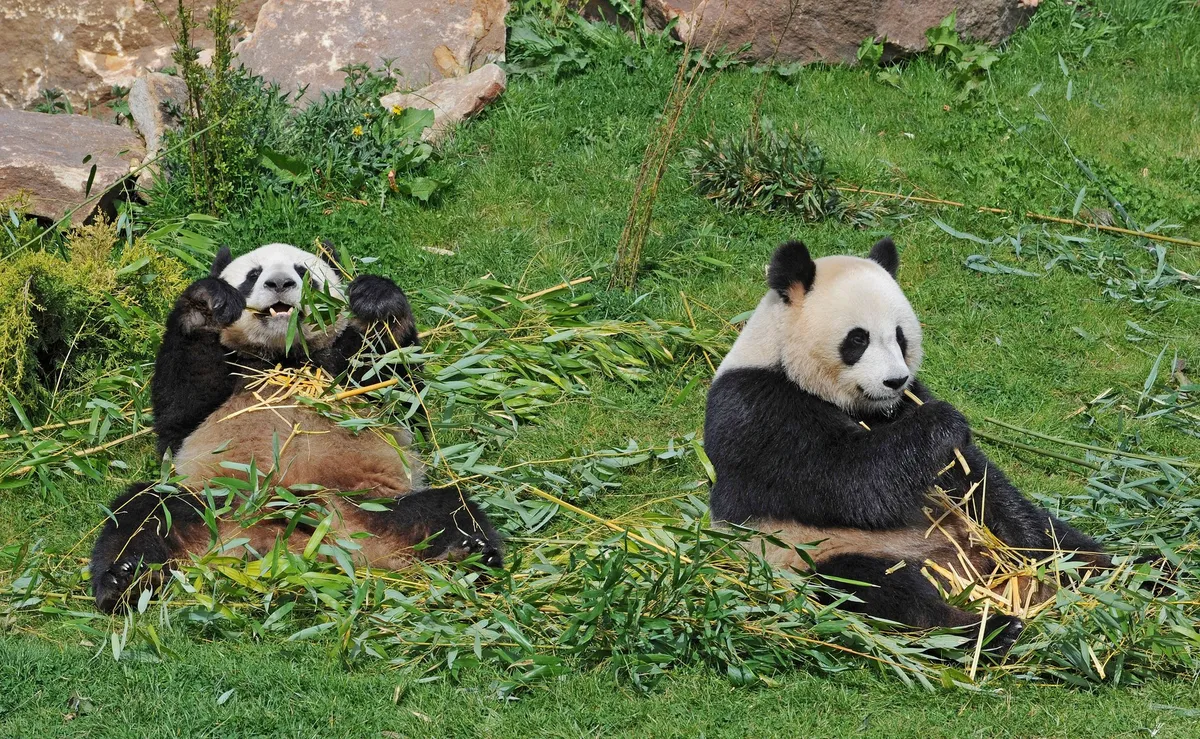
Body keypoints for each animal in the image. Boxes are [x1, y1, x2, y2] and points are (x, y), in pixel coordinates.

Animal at [90, 242, 503, 613]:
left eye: (304, 272)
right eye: (252, 275)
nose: (279, 283)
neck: (284, 356)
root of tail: (285, 545)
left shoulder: (340, 370)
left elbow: (400, 395)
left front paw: (375, 300)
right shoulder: (223, 382)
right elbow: (180, 410)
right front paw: (208, 302)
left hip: (374, 507)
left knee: (449, 508)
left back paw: (465, 555)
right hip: (214, 502)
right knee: (143, 512)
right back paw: (125, 580)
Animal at [704, 238, 1116, 653]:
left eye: (900, 336)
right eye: (858, 339)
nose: (895, 381)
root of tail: (960, 570)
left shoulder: (908, 401)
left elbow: (979, 483)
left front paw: (1032, 550)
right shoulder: (759, 411)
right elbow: (848, 480)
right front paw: (942, 422)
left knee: (1060, 537)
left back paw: (1114, 572)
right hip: (814, 550)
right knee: (880, 590)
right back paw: (989, 631)